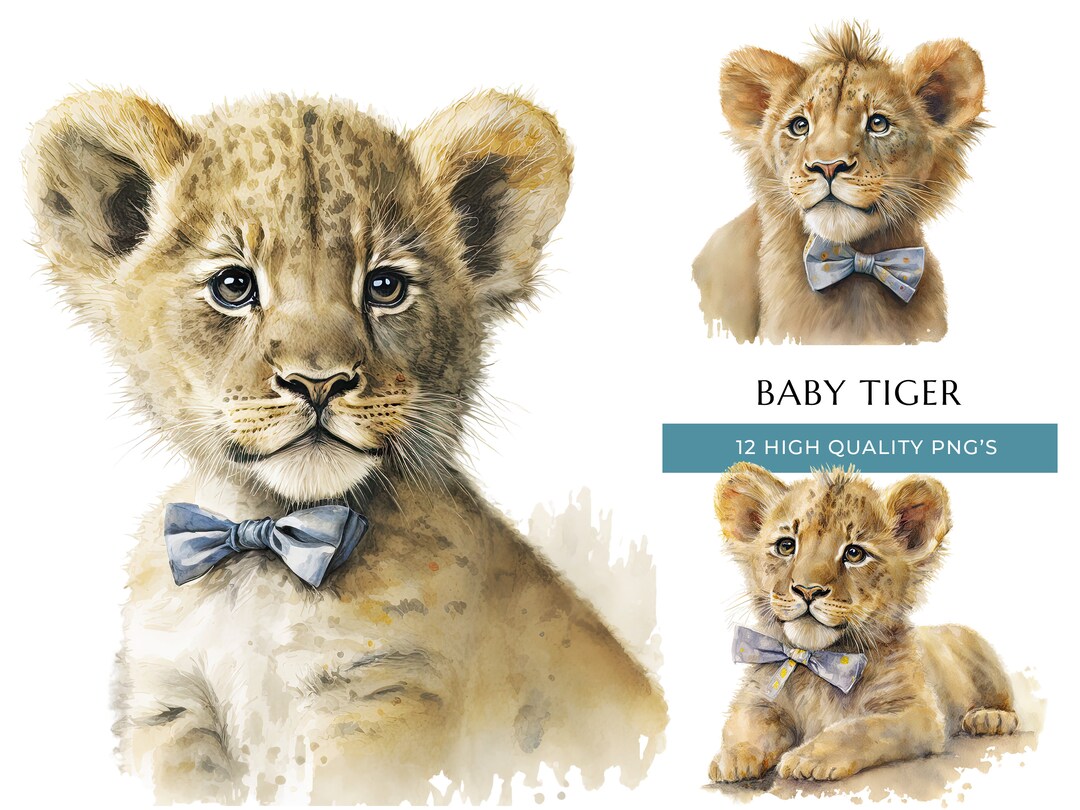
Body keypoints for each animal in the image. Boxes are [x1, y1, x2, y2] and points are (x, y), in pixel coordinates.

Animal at [25, 89, 666, 804]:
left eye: (385, 287)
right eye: (232, 286)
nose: (319, 381)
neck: (263, 550)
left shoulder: (386, 700)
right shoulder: (170, 708)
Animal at [709, 463, 1016, 783]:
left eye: (854, 553)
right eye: (785, 546)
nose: (808, 590)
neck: (817, 667)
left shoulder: (916, 713)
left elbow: (858, 729)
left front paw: (807, 758)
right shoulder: (758, 698)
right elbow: (748, 723)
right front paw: (734, 756)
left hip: (983, 660)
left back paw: (989, 717)